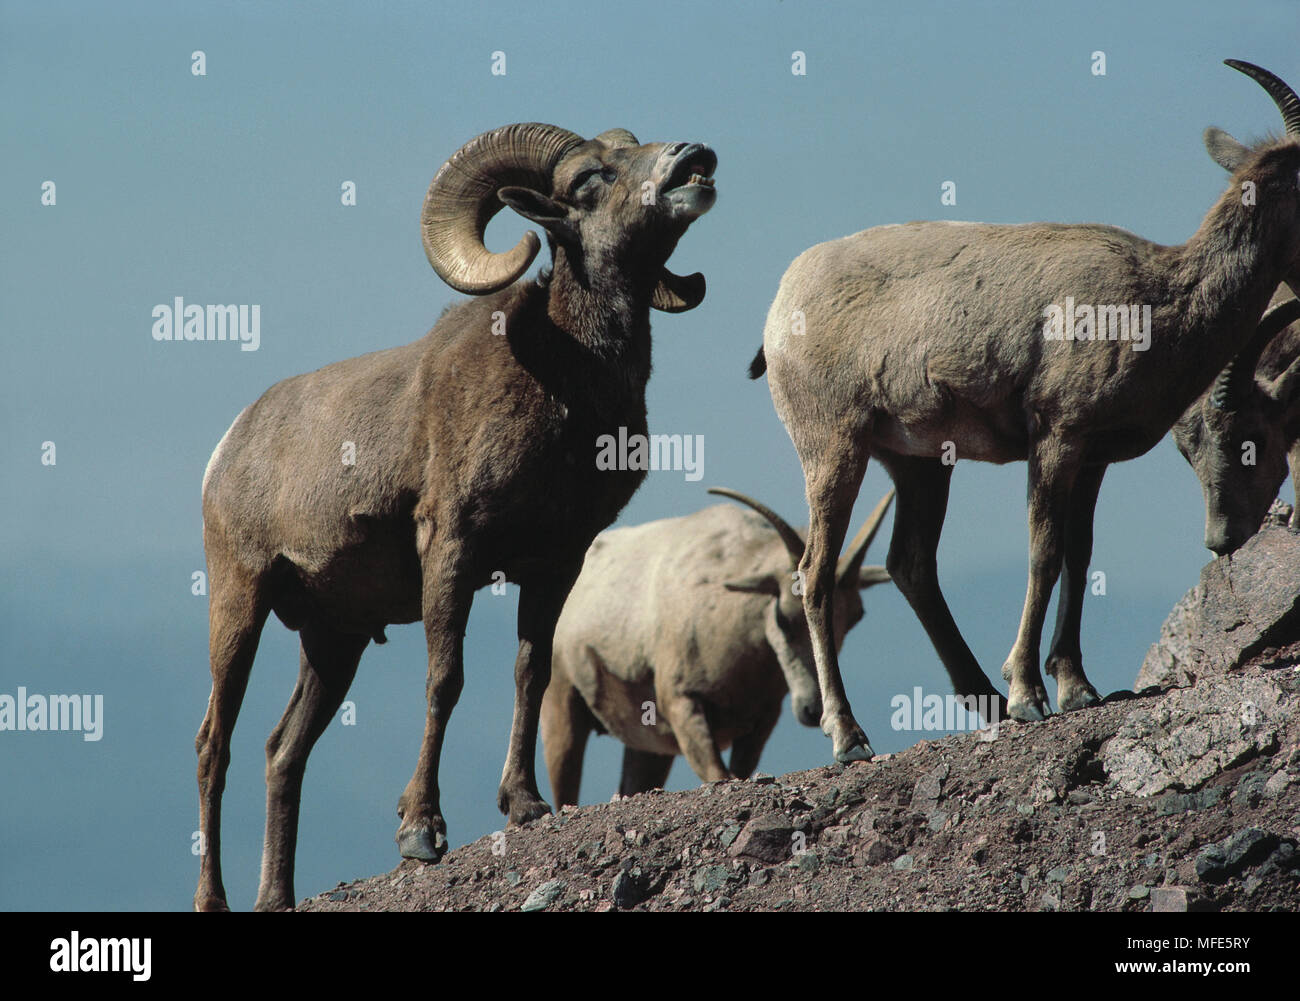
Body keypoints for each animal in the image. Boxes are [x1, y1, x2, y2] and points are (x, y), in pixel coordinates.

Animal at [194, 123, 717, 911]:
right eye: (590, 178)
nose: (693, 159)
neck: (567, 387)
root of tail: (227, 449)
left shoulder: (555, 564)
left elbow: (530, 672)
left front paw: (525, 804)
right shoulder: (453, 550)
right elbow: (446, 678)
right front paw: (420, 833)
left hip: (334, 640)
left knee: (282, 753)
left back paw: (275, 896)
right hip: (240, 603)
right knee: (213, 746)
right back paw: (214, 899)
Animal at [541, 488, 893, 805]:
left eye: (855, 617)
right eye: (782, 616)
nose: (812, 709)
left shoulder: (759, 723)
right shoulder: (684, 707)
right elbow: (718, 774)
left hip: (647, 747)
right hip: (561, 711)